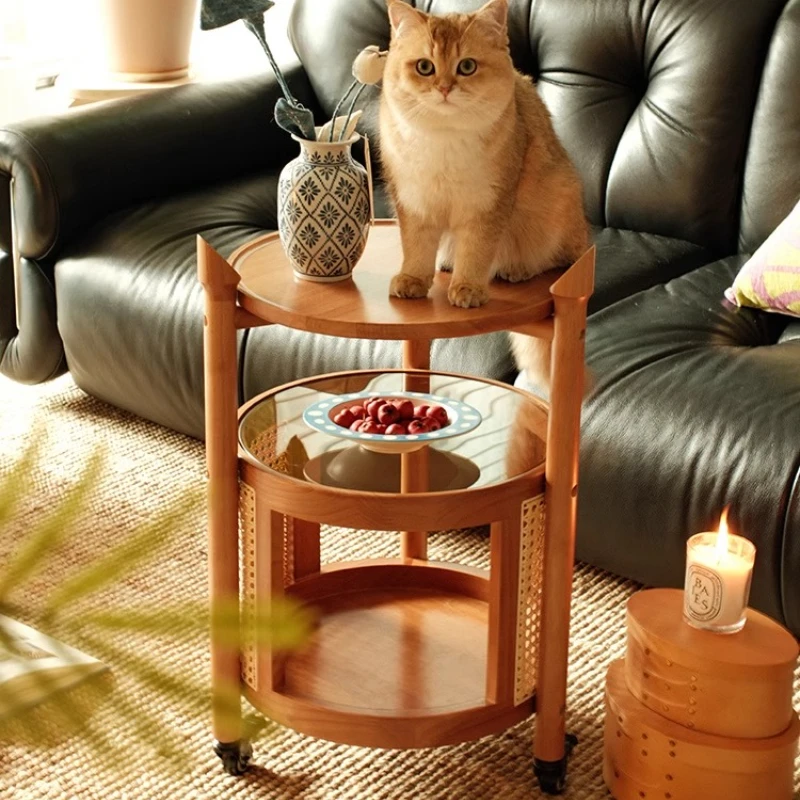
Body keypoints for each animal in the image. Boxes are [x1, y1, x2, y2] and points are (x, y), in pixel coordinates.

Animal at [379, 0, 589, 390]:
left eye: (467, 66)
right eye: (425, 67)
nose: (445, 88)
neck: (443, 138)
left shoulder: (488, 203)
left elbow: (477, 250)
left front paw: (468, 288)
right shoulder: (413, 202)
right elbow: (416, 247)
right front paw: (414, 279)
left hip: (557, 204)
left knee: (553, 256)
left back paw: (516, 268)